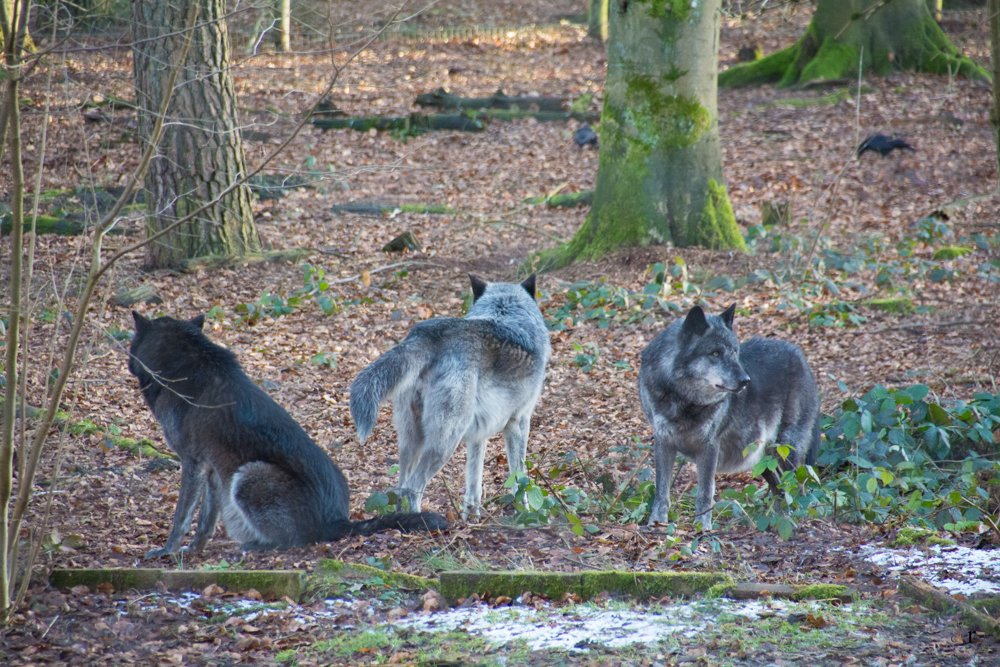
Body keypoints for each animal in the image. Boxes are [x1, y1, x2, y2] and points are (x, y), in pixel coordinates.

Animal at [128, 312, 447, 559]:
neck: (185, 367)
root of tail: (337, 522)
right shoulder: (212, 470)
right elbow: (205, 521)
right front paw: (194, 550)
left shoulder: (192, 463)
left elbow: (181, 517)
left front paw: (167, 550)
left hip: (249, 474)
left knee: (290, 542)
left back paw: (255, 545)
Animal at [350, 274, 550, 519]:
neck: (507, 312)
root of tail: (425, 337)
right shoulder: (519, 422)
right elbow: (520, 480)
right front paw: (526, 513)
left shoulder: (478, 435)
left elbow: (474, 482)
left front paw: (472, 517)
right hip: (445, 442)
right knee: (412, 488)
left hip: (411, 442)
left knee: (401, 487)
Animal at [638, 304, 820, 530]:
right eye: (715, 353)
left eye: (734, 352)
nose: (746, 381)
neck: (683, 401)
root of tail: (800, 356)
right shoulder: (663, 443)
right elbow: (661, 490)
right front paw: (656, 523)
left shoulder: (710, 447)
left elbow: (705, 491)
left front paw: (702, 528)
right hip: (761, 460)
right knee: (780, 487)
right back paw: (781, 518)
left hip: (787, 449)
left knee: (797, 485)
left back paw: (798, 515)